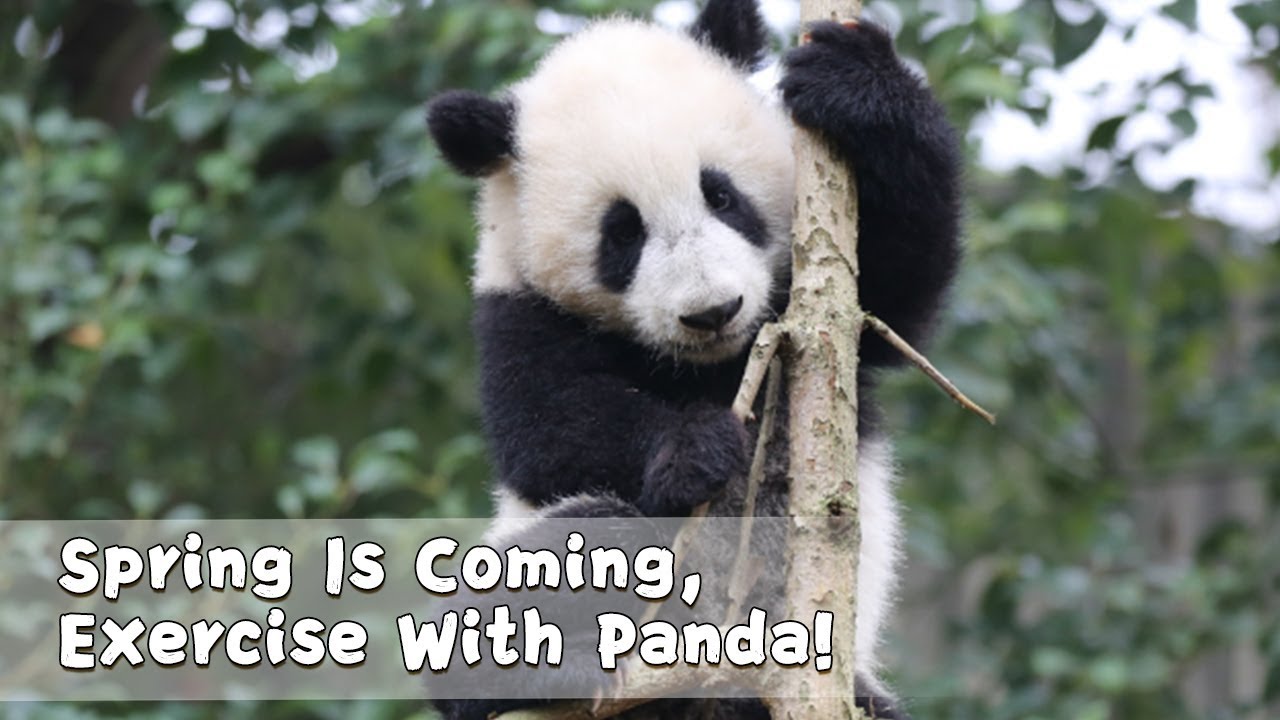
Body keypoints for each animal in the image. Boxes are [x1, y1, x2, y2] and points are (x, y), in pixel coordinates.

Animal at [424, 0, 960, 718]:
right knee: (577, 542)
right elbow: (547, 429)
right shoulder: (517, 311)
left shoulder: (825, 300)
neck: (708, 365)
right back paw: (549, 668)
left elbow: (903, 281)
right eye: (622, 234)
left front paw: (855, 80)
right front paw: (695, 447)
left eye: (722, 195)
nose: (713, 311)